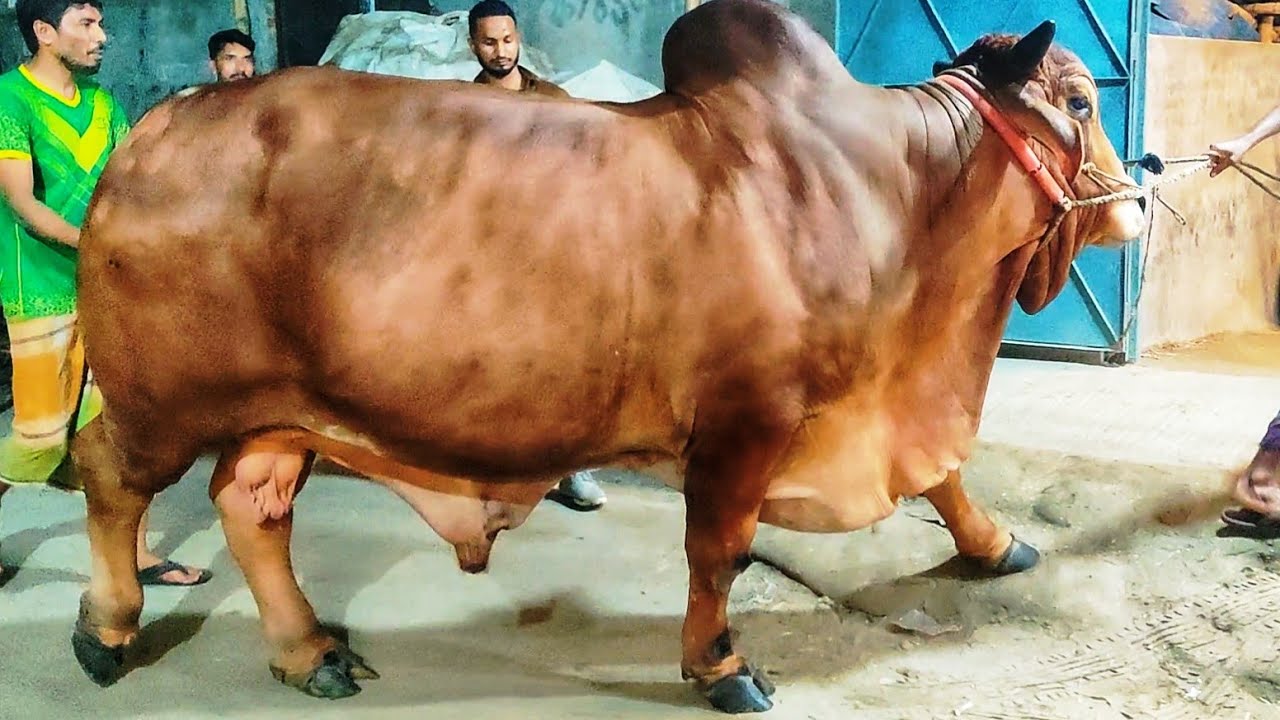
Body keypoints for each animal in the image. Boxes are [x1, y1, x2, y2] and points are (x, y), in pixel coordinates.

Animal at [67, 0, 1146, 713]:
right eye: (1082, 100)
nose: (1136, 190)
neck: (895, 188)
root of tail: (154, 128)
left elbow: (946, 473)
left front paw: (997, 545)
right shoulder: (748, 420)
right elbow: (719, 550)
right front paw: (720, 666)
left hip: (282, 412)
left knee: (251, 511)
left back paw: (307, 652)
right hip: (162, 403)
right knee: (108, 476)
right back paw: (105, 629)